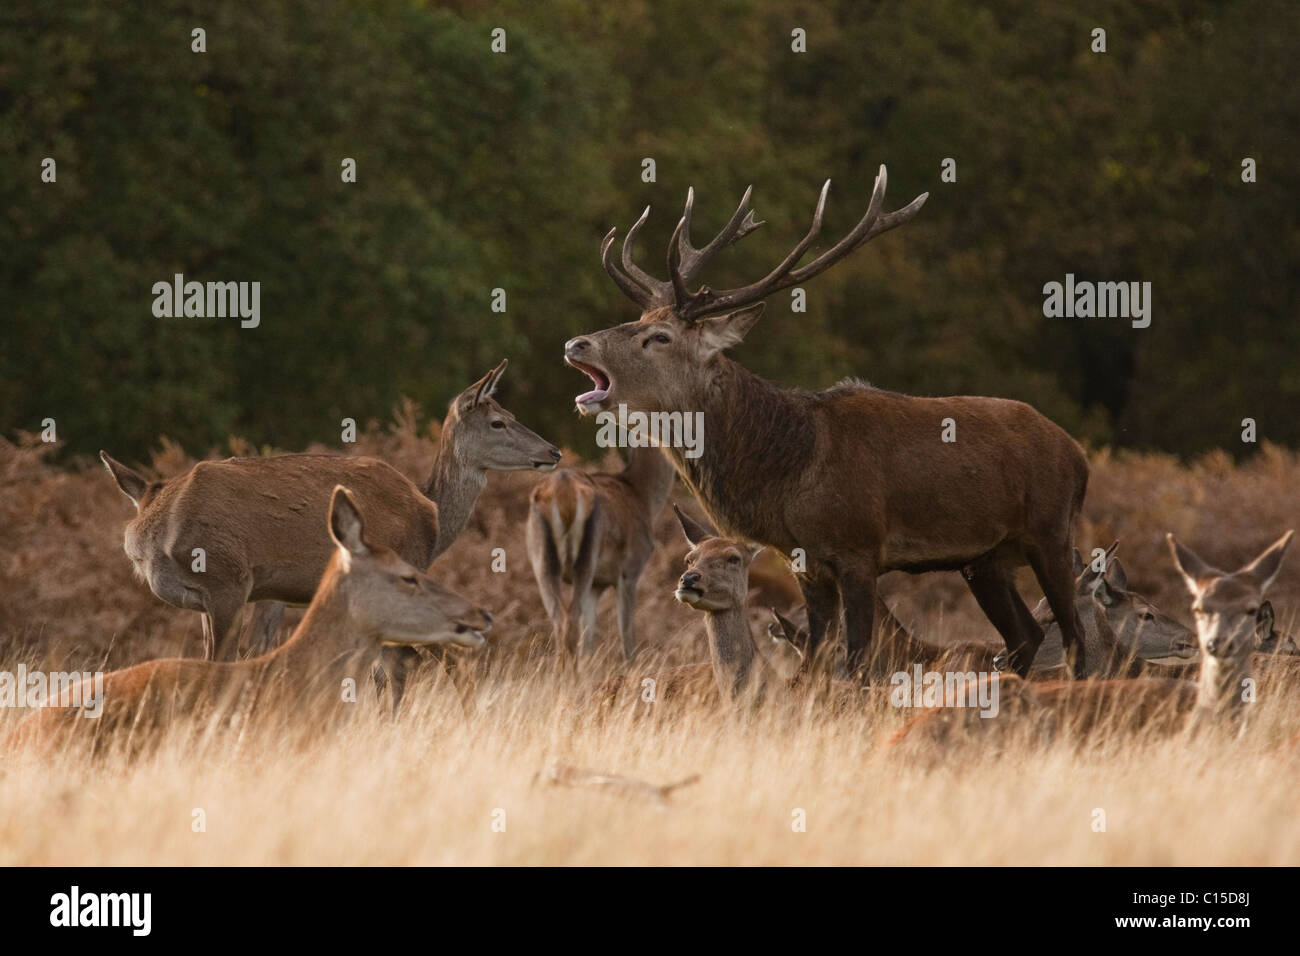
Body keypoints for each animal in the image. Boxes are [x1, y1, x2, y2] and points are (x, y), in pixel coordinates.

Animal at [100, 361, 559, 709]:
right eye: (499, 422)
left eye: (511, 417)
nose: (552, 451)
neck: (434, 520)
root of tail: (144, 533)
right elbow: (389, 670)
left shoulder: (275, 594)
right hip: (224, 577)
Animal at [526, 445, 675, 662]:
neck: (644, 497)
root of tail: (563, 491)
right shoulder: (630, 570)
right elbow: (626, 634)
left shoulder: (596, 585)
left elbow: (588, 639)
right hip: (587, 557)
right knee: (570, 619)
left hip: (541, 558)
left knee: (559, 618)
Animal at [567, 166, 1091, 681]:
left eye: (660, 336)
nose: (576, 343)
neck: (789, 472)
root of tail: (1078, 454)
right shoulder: (804, 563)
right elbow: (814, 662)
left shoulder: (859, 548)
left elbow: (854, 661)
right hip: (985, 559)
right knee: (1025, 636)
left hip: (1051, 530)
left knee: (1076, 640)